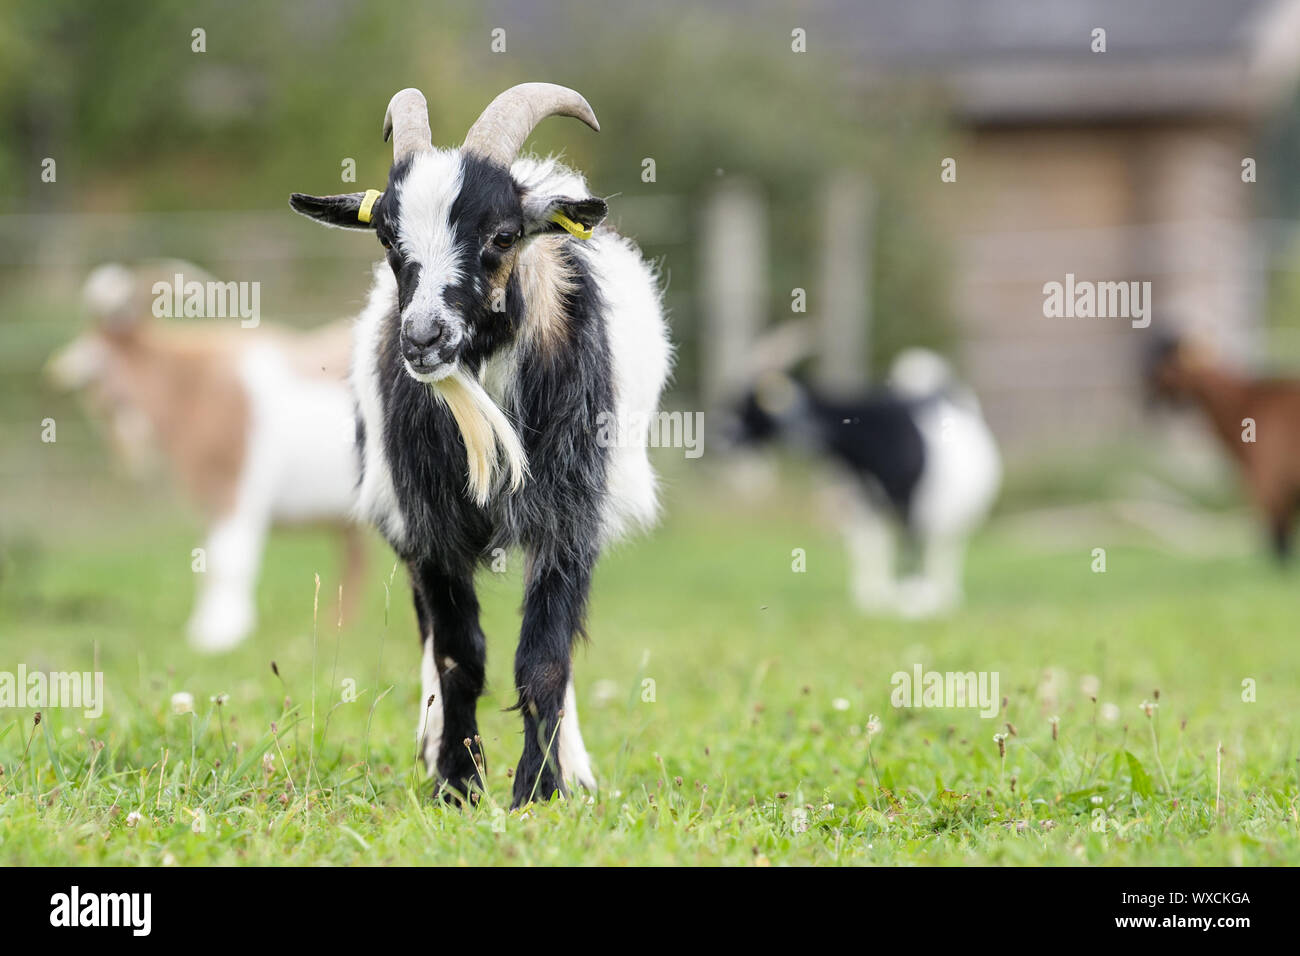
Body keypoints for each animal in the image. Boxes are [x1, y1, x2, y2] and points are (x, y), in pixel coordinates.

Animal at [48, 261, 363, 652]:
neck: (193, 386)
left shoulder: (235, 489)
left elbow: (230, 559)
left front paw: (221, 634)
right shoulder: (210, 500)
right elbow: (210, 559)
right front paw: (204, 627)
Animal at [290, 84, 671, 805]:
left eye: (502, 235)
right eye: (387, 237)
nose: (423, 338)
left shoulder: (569, 517)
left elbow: (545, 660)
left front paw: (540, 789)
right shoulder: (428, 524)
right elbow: (456, 655)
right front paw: (457, 781)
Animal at [728, 349, 1000, 617]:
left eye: (749, 399)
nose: (721, 432)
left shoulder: (908, 501)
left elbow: (908, 544)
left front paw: (912, 603)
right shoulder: (858, 500)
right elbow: (868, 546)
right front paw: (872, 600)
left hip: (954, 515)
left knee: (944, 549)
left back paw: (940, 596)